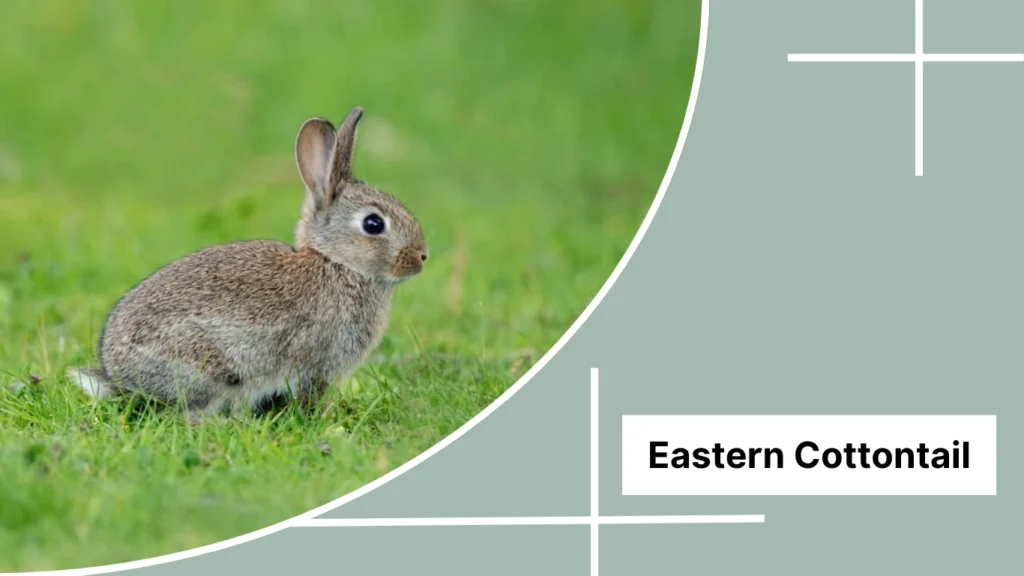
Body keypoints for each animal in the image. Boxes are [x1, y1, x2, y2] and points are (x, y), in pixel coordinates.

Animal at [66, 106, 428, 419]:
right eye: (373, 224)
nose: (422, 257)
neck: (336, 262)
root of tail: (119, 379)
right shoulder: (316, 363)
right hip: (208, 369)